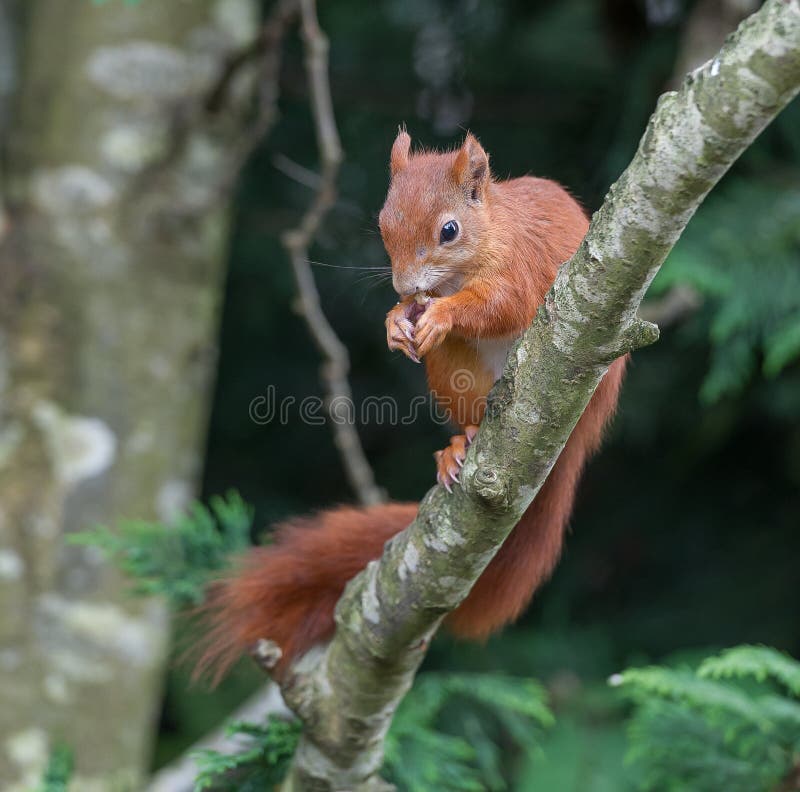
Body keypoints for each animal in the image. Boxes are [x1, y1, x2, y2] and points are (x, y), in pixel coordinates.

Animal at [196, 131, 627, 683]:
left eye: (449, 230)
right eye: (384, 221)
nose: (405, 287)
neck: (485, 240)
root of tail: (572, 440)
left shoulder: (523, 267)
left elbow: (503, 305)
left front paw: (443, 313)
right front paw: (395, 321)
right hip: (453, 374)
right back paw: (460, 444)